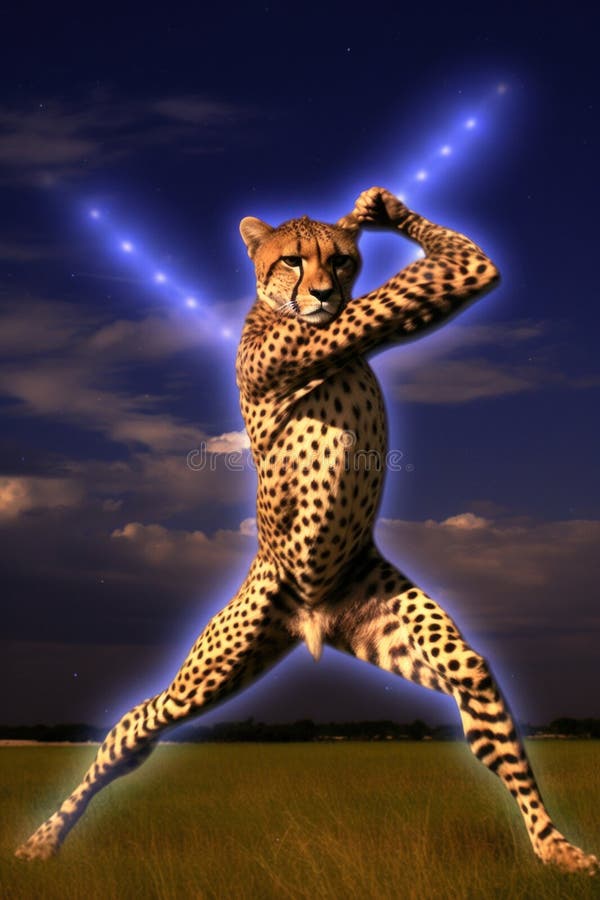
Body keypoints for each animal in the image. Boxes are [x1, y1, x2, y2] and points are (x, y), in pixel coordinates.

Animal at [15, 186, 598, 875]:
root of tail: (314, 619)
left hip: (395, 633)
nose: (323, 293)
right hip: (212, 665)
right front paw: (374, 208)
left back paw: (556, 847)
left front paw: (377, 209)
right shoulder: (346, 326)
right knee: (132, 730)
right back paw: (43, 838)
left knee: (479, 701)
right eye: (292, 259)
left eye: (341, 260)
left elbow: (468, 259)